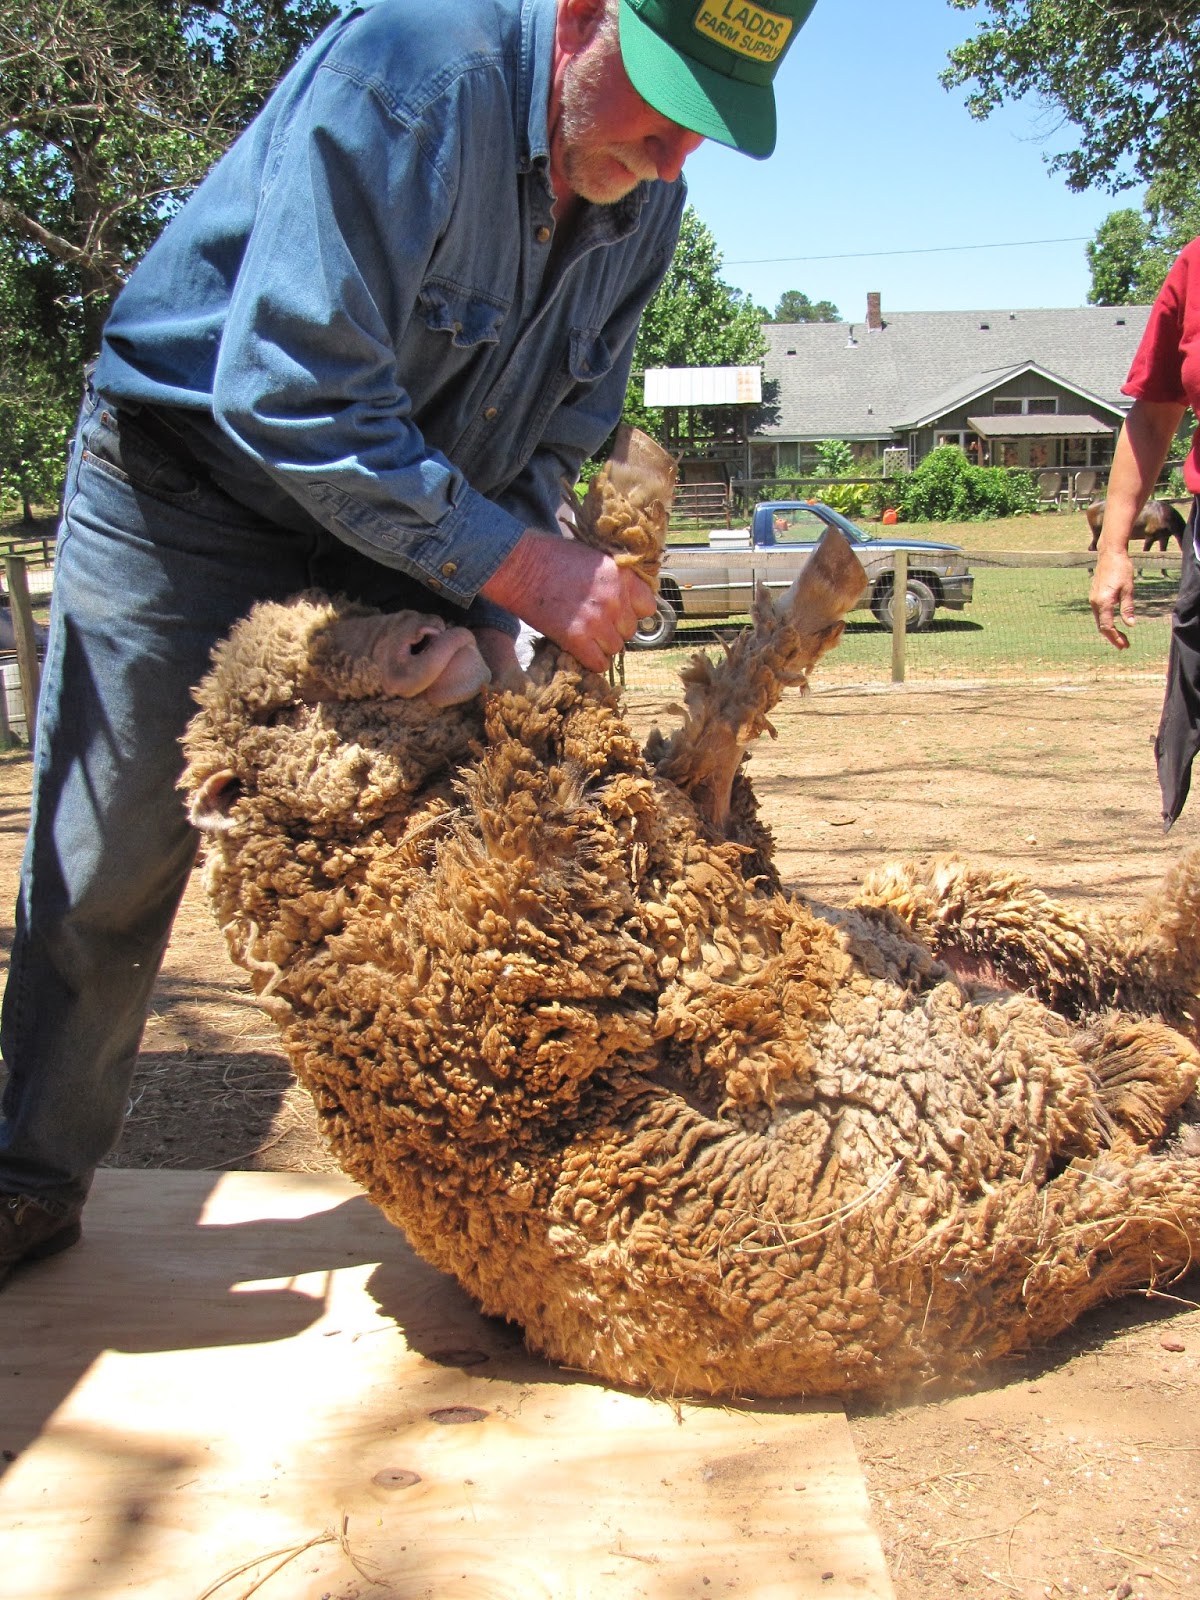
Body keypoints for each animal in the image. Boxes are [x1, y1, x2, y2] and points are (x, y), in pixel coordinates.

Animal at [181, 428, 1200, 1400]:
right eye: (286, 707)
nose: (423, 638)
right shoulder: (550, 921)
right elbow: (576, 707)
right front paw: (625, 534)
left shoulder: (678, 857)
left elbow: (674, 719)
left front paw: (658, 513)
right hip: (1004, 1174)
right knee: (1141, 1131)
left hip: (965, 913)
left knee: (1140, 982)